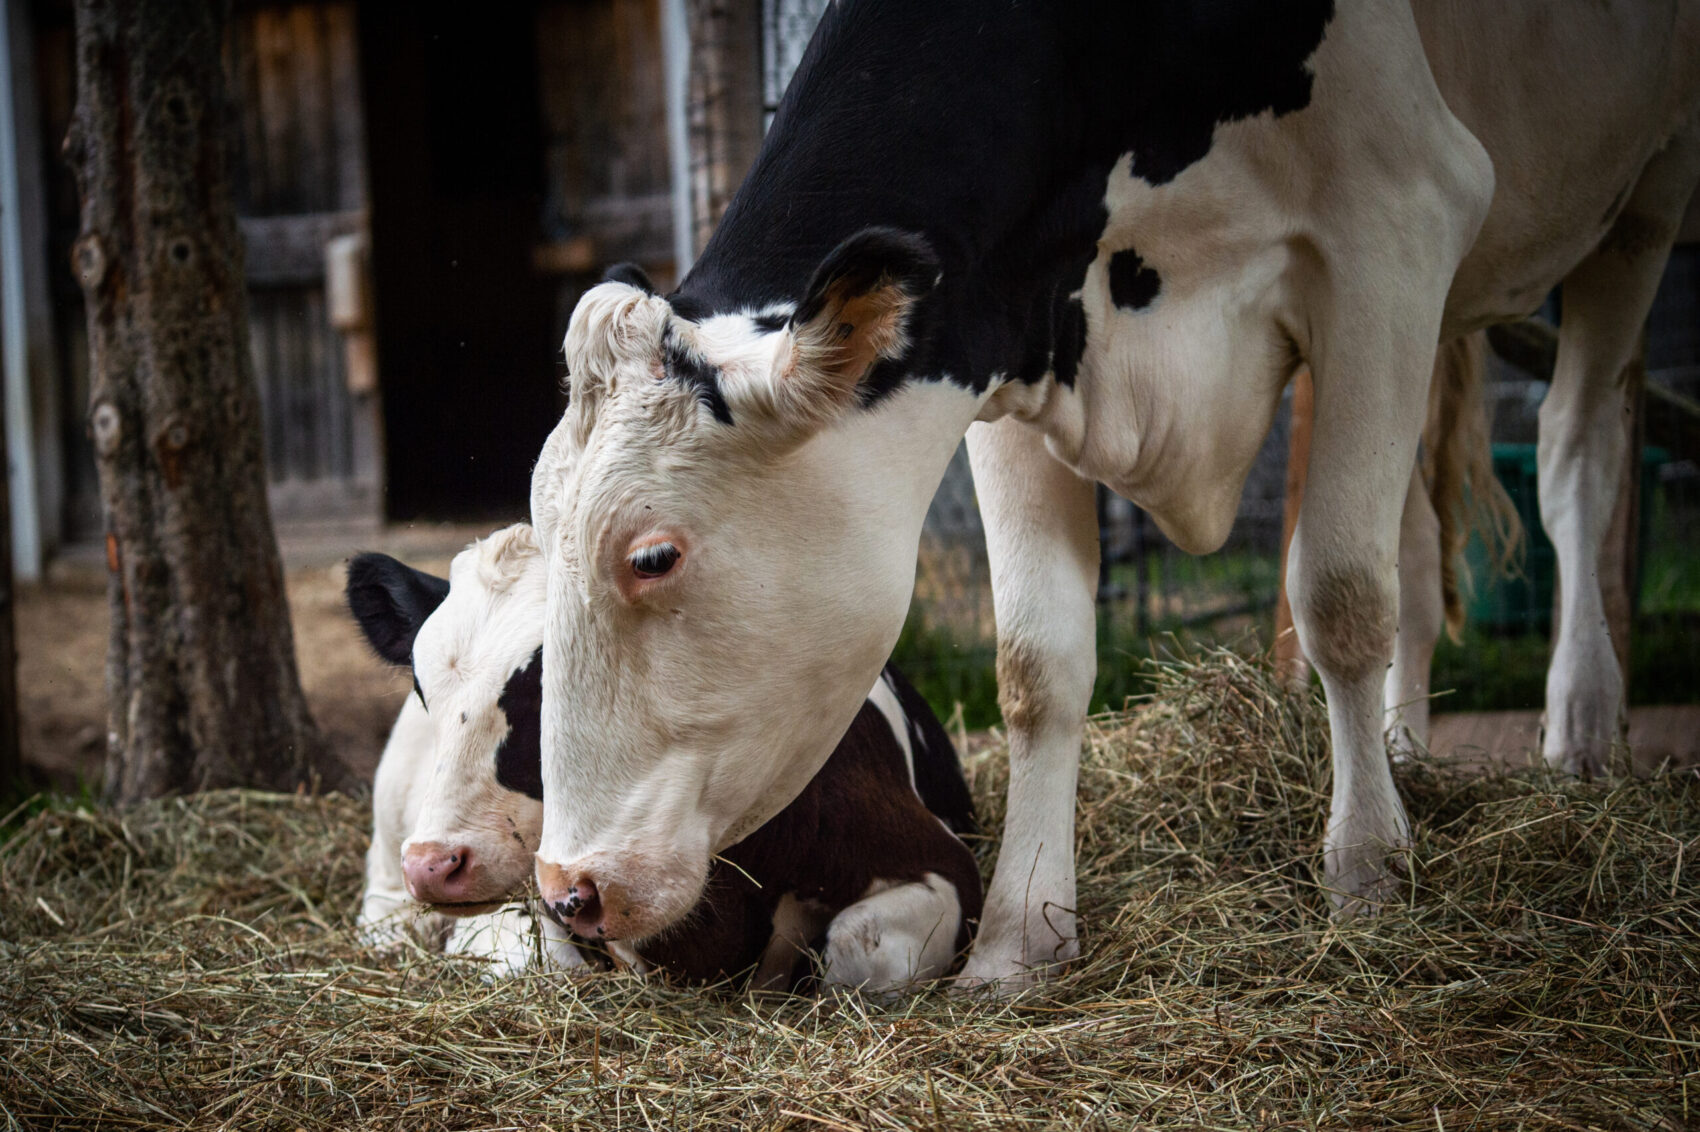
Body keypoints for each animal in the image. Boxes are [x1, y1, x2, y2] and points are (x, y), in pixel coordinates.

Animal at [528, 0, 1700, 989]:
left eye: (653, 555)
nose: (565, 891)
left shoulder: (1394, 227)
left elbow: (1337, 594)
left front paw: (1367, 875)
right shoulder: (1003, 338)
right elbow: (1036, 662)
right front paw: (1017, 941)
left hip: (1640, 201)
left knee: (1573, 450)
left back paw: (1579, 729)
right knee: (1415, 537)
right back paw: (1408, 747)